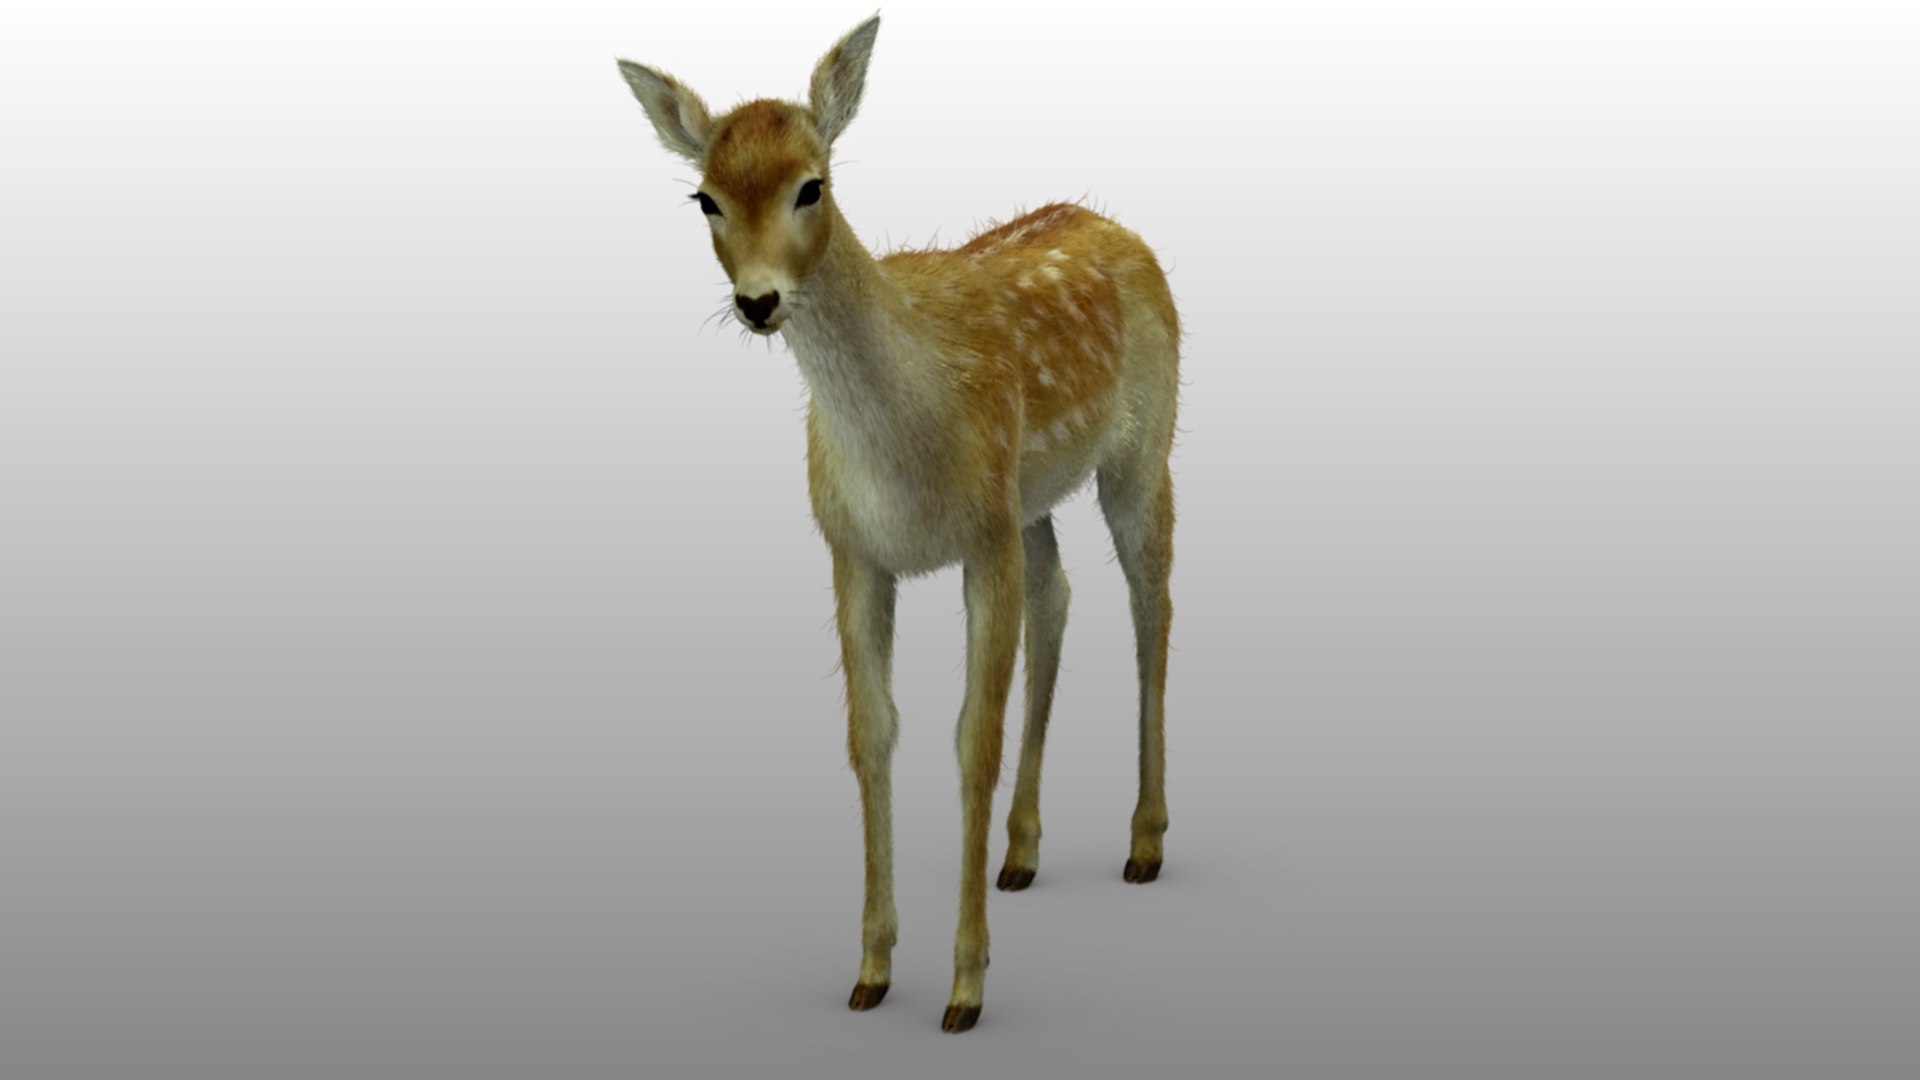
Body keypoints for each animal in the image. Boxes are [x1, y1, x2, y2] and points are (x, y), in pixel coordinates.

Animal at [616, 14, 1180, 1033]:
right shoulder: (854, 550)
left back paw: (1145, 843)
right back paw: (1021, 854)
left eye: (813, 184)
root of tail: (1120, 226)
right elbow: (871, 735)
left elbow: (970, 738)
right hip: (1029, 501)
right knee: (1061, 594)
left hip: (1139, 451)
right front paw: (872, 969)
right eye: (704, 198)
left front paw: (966, 987)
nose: (758, 302)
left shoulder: (979, 540)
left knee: (1149, 601)